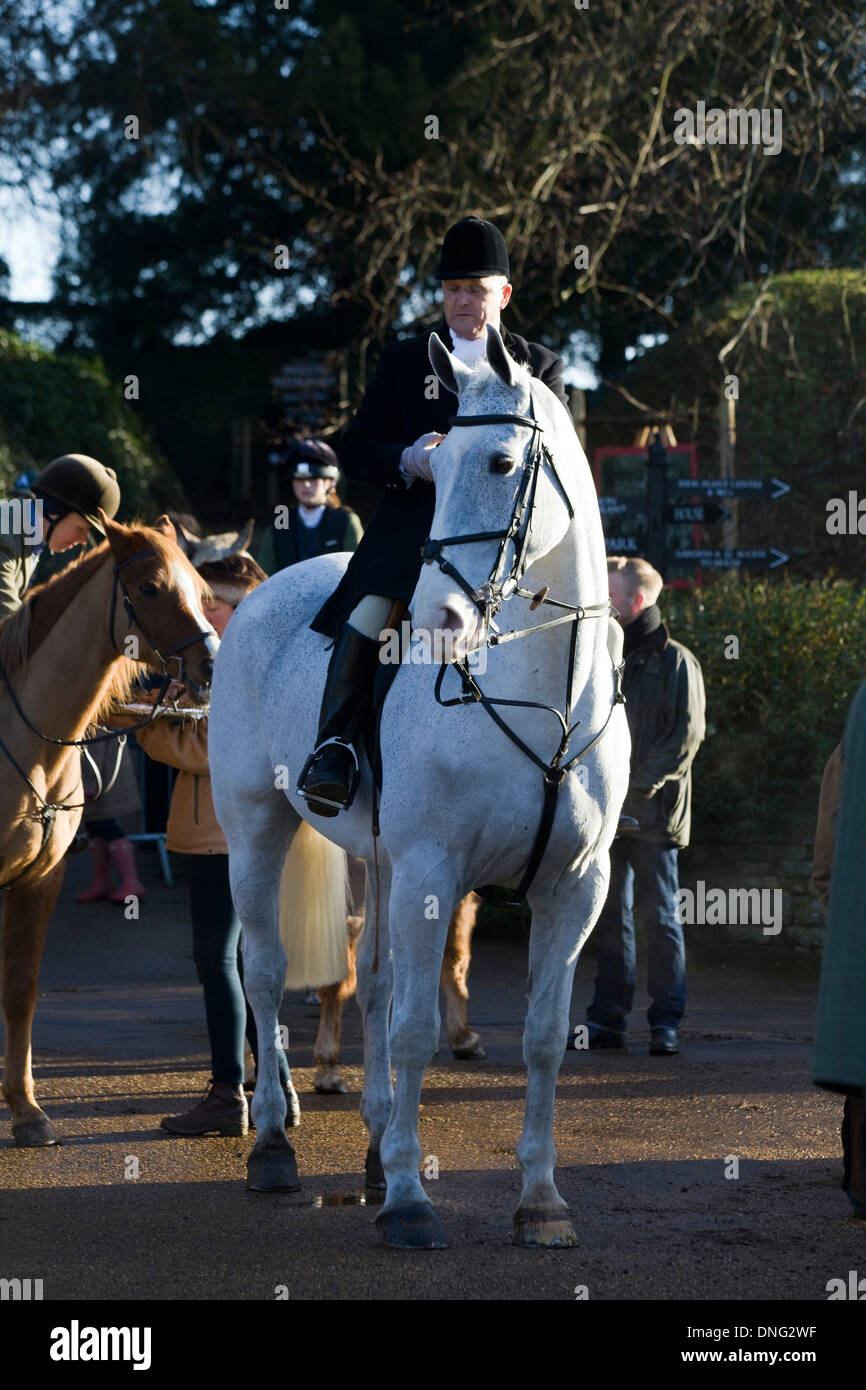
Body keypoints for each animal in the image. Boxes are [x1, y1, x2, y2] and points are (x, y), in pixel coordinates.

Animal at [0, 517, 216, 1145]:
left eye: (200, 589)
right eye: (148, 587)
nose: (212, 664)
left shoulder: (39, 880)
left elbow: (19, 991)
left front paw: (27, 1111)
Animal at [209, 322, 631, 1251]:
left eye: (503, 463)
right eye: (439, 469)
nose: (441, 619)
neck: (543, 699)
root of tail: (261, 589)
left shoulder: (574, 886)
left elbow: (542, 1038)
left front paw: (540, 1201)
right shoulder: (436, 870)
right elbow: (414, 1030)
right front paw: (408, 1199)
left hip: (382, 861)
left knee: (370, 979)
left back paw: (369, 1149)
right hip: (257, 827)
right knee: (267, 970)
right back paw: (272, 1148)